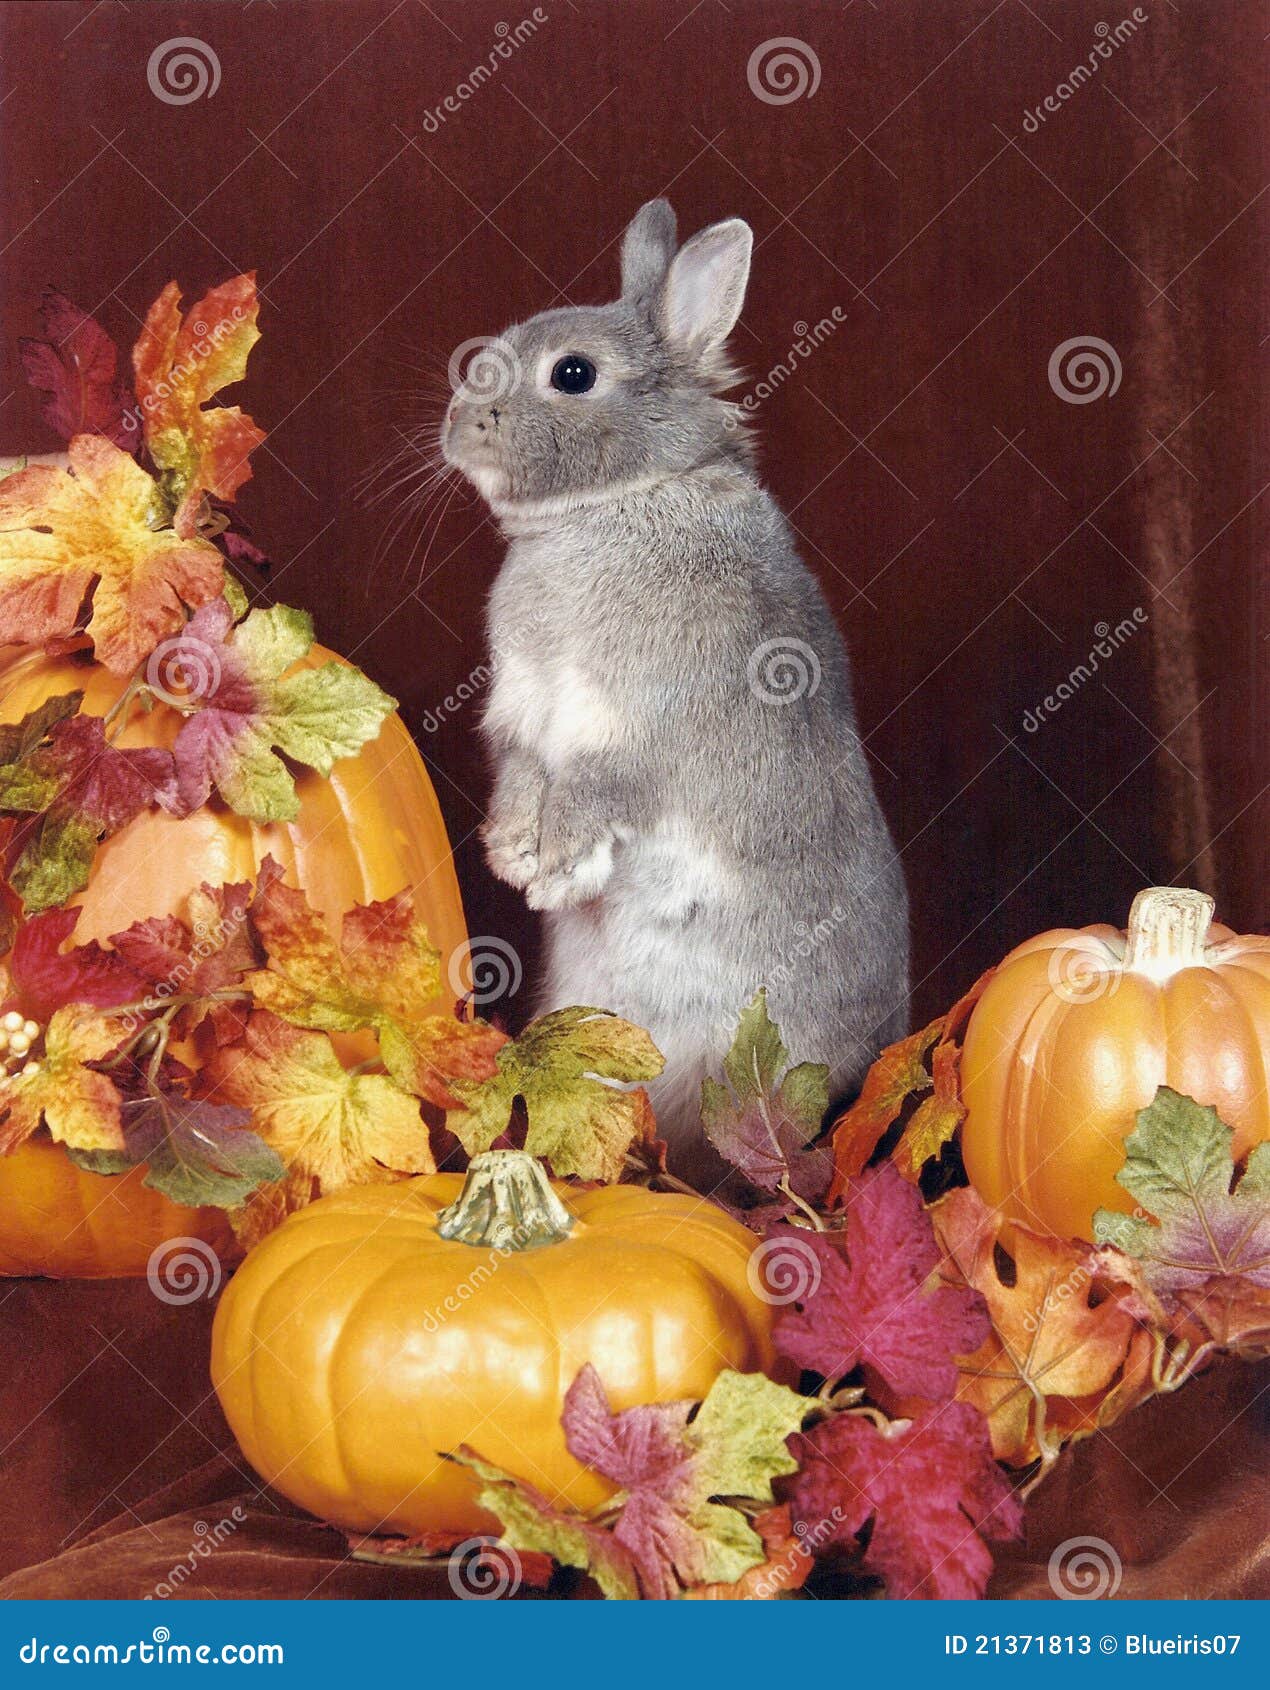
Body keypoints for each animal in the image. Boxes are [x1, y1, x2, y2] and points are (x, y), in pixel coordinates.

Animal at [441, 198, 910, 1185]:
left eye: (573, 373)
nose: (460, 424)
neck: (616, 503)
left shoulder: (635, 735)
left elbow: (596, 791)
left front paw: (554, 867)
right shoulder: (522, 723)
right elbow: (521, 778)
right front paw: (512, 855)